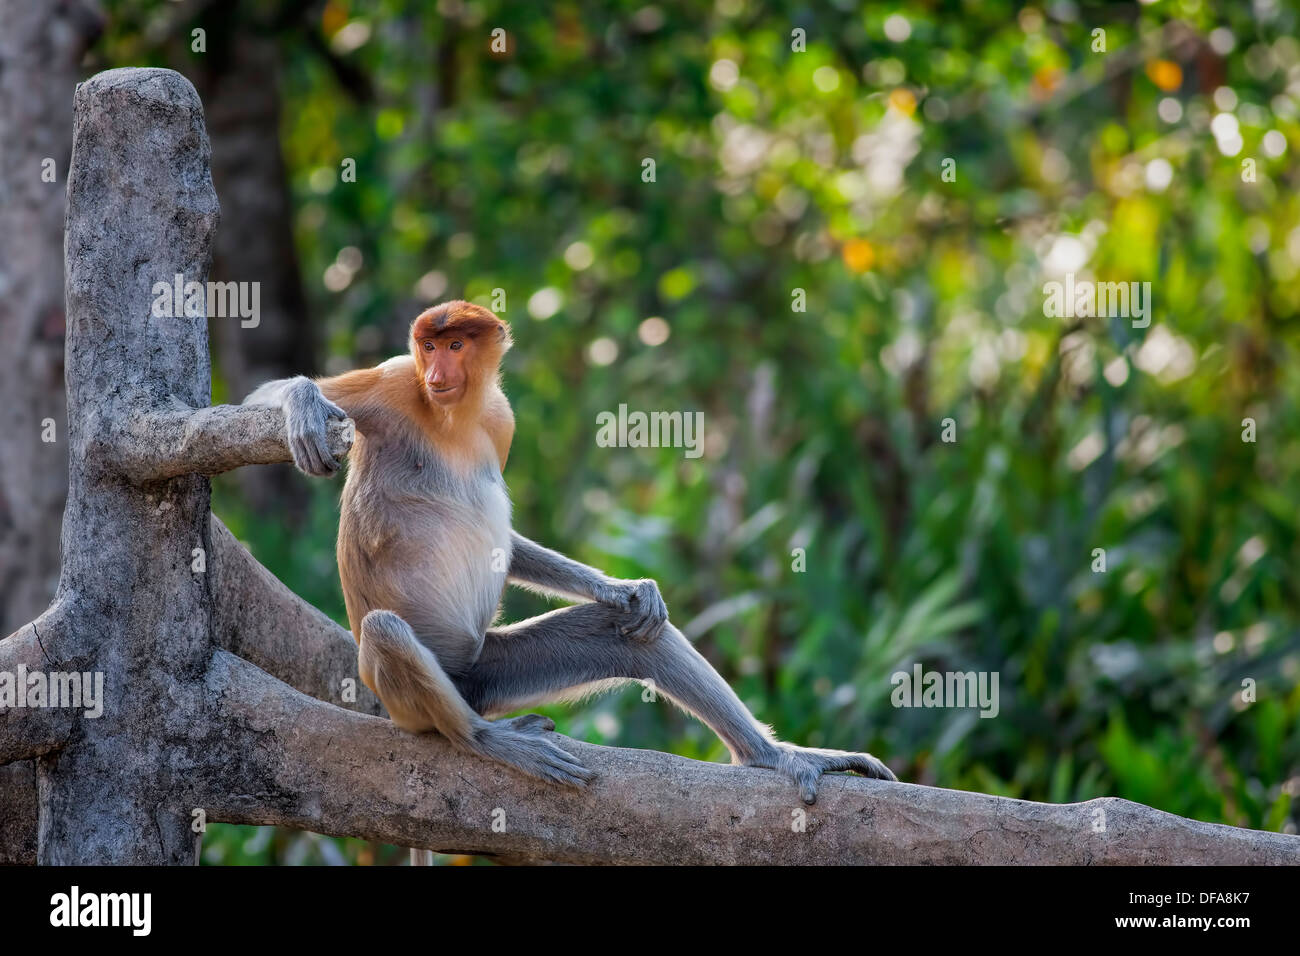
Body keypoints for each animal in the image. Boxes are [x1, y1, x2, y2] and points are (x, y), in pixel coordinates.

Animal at [244, 300, 895, 802]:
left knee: (630, 637)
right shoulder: (397, 383)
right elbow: (263, 398)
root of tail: (459, 683)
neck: (450, 414)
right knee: (386, 630)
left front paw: (624, 589)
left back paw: (772, 756)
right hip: (407, 693)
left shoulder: (499, 419)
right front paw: (303, 403)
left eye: (455, 344)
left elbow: (514, 546)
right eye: (428, 346)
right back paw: (490, 740)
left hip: (487, 675)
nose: (438, 372)